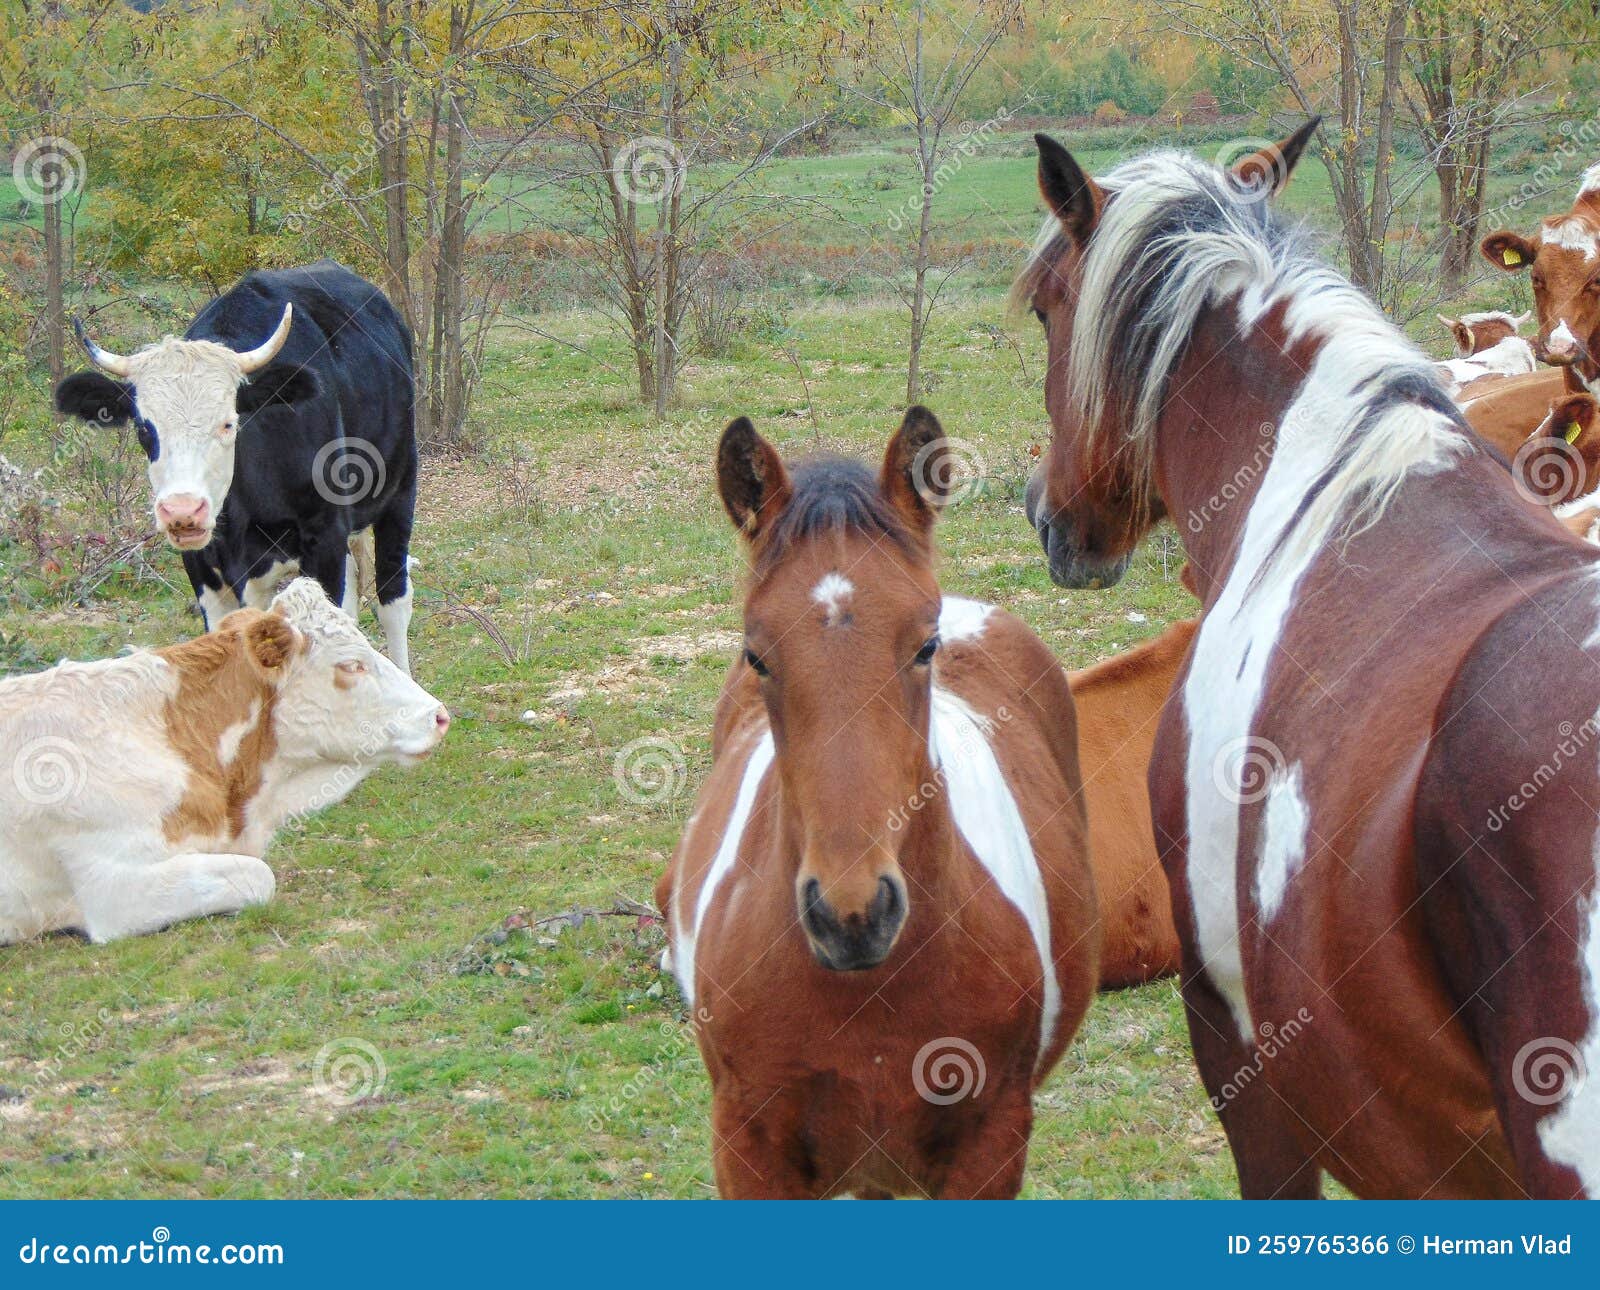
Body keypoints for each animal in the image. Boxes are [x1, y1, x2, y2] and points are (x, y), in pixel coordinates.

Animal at [53, 261, 420, 673]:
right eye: (144, 428)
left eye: (229, 423)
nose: (182, 511)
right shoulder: (202, 563)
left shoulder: (324, 536)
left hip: (400, 491)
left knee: (392, 598)